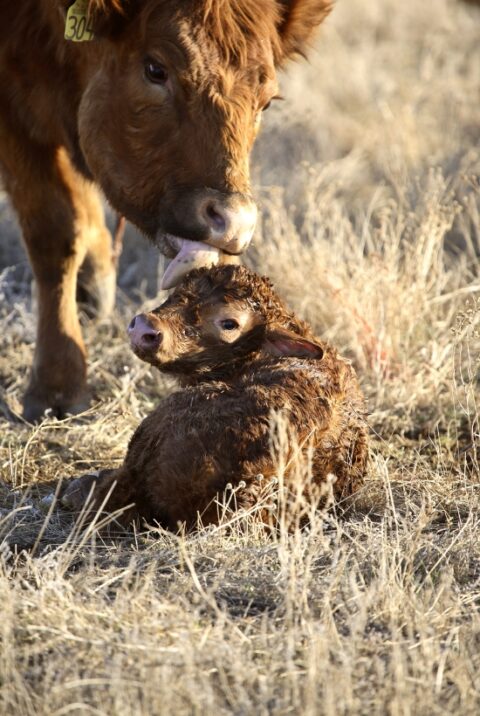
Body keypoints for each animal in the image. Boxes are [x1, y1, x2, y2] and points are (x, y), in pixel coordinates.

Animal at [0, 0, 332, 421]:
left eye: (268, 100)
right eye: (156, 70)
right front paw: (58, 387)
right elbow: (55, 232)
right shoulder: (14, 121)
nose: (232, 221)